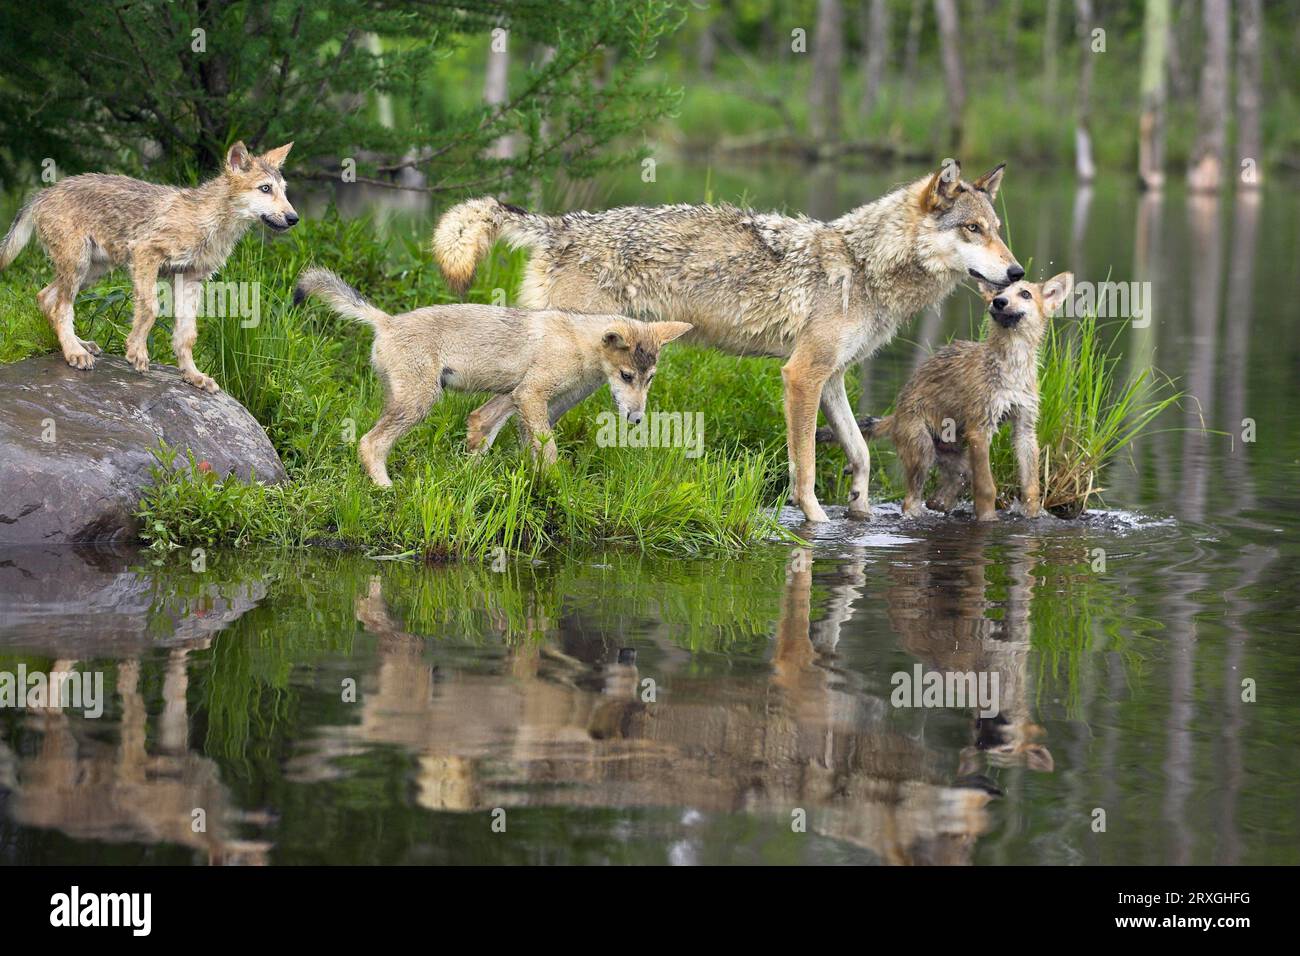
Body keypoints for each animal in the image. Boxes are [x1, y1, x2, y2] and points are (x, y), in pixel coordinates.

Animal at [0, 141, 297, 392]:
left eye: (284, 190)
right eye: (265, 189)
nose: (294, 218)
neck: (209, 222)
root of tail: (42, 193)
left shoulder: (190, 280)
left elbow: (187, 335)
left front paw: (193, 375)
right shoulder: (145, 254)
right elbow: (150, 308)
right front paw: (137, 352)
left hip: (92, 271)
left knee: (45, 297)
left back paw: (81, 345)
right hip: (79, 265)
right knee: (61, 306)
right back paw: (75, 352)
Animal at [293, 267, 691, 485]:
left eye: (649, 378)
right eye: (626, 376)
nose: (636, 419)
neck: (579, 343)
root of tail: (387, 321)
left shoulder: (513, 396)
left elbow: (489, 432)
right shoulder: (531, 394)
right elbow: (548, 451)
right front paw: (557, 489)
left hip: (404, 398)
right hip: (421, 402)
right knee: (369, 442)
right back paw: (385, 488)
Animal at [432, 161, 1022, 522]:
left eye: (996, 229)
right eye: (971, 229)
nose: (1017, 272)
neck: (864, 266)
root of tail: (561, 225)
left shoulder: (831, 378)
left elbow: (860, 452)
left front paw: (858, 509)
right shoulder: (801, 376)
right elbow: (806, 466)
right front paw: (816, 521)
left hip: (576, 383)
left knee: (493, 421)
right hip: (577, 377)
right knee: (493, 417)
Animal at [819, 272, 1074, 521]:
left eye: (1025, 294)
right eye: (999, 293)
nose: (999, 302)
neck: (1012, 365)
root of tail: (896, 414)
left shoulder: (1024, 428)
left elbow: (1031, 485)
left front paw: (1032, 515)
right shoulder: (980, 429)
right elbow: (987, 488)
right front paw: (988, 519)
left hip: (958, 464)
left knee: (939, 498)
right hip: (923, 452)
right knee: (910, 502)